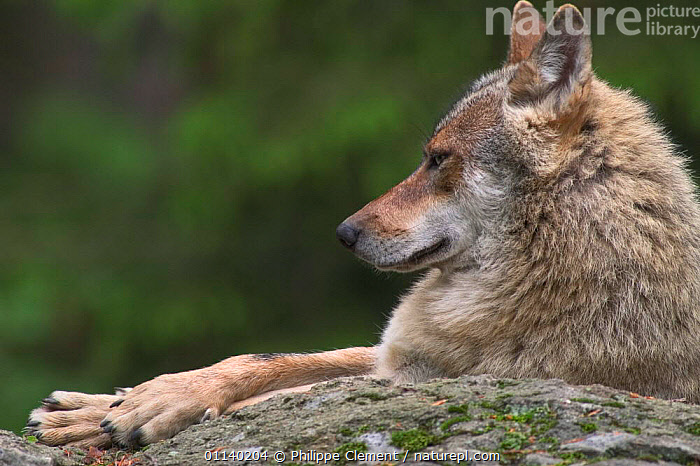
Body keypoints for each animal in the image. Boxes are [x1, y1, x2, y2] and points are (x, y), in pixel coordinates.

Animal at [28, 2, 700, 449]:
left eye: (438, 159)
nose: (343, 233)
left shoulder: (426, 377)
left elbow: (275, 394)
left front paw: (139, 409)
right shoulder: (390, 356)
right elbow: (258, 360)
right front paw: (110, 402)